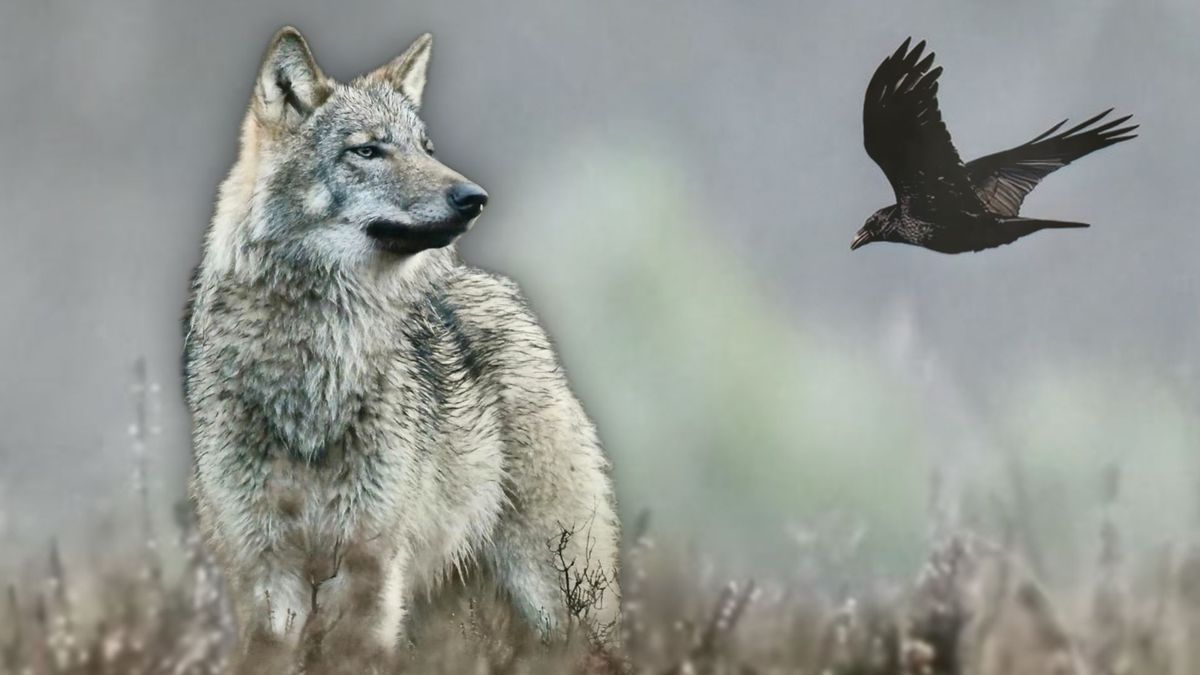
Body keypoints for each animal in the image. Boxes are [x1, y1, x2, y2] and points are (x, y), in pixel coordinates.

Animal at [183, 26, 620, 674]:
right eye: (367, 151)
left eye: (426, 147)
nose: (473, 197)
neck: (315, 380)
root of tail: (494, 287)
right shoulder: (266, 571)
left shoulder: (369, 566)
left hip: (559, 599)